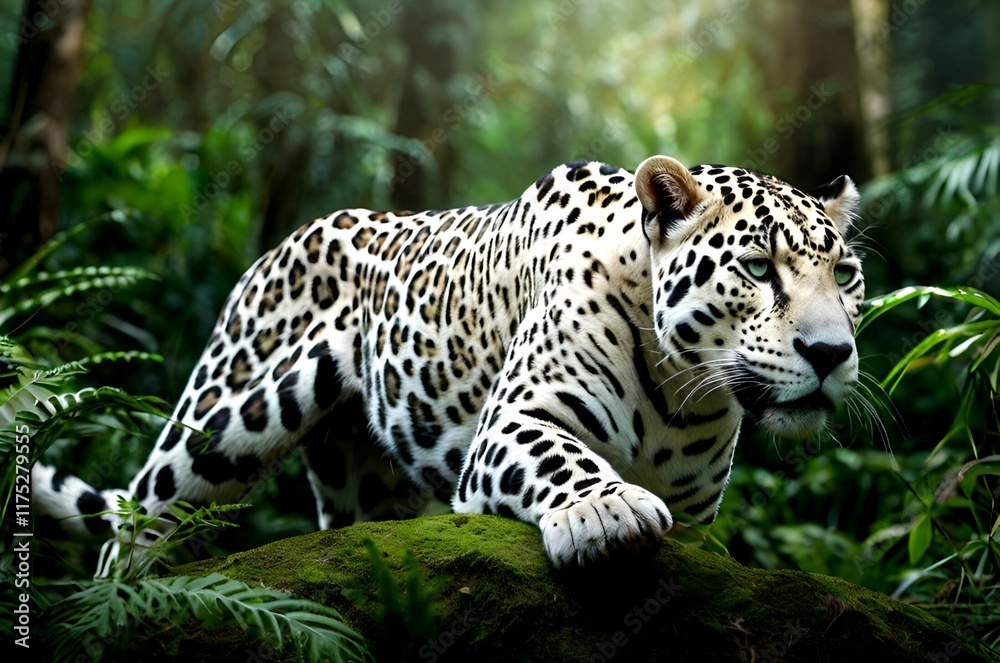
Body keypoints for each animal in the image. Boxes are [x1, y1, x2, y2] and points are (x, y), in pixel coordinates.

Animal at [33, 155, 865, 572]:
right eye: (758, 268)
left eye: (846, 275)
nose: (832, 353)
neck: (685, 390)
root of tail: (275, 245)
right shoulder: (514, 420)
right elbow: (562, 455)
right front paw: (605, 510)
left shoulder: (698, 514)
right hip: (220, 417)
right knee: (135, 523)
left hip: (367, 484)